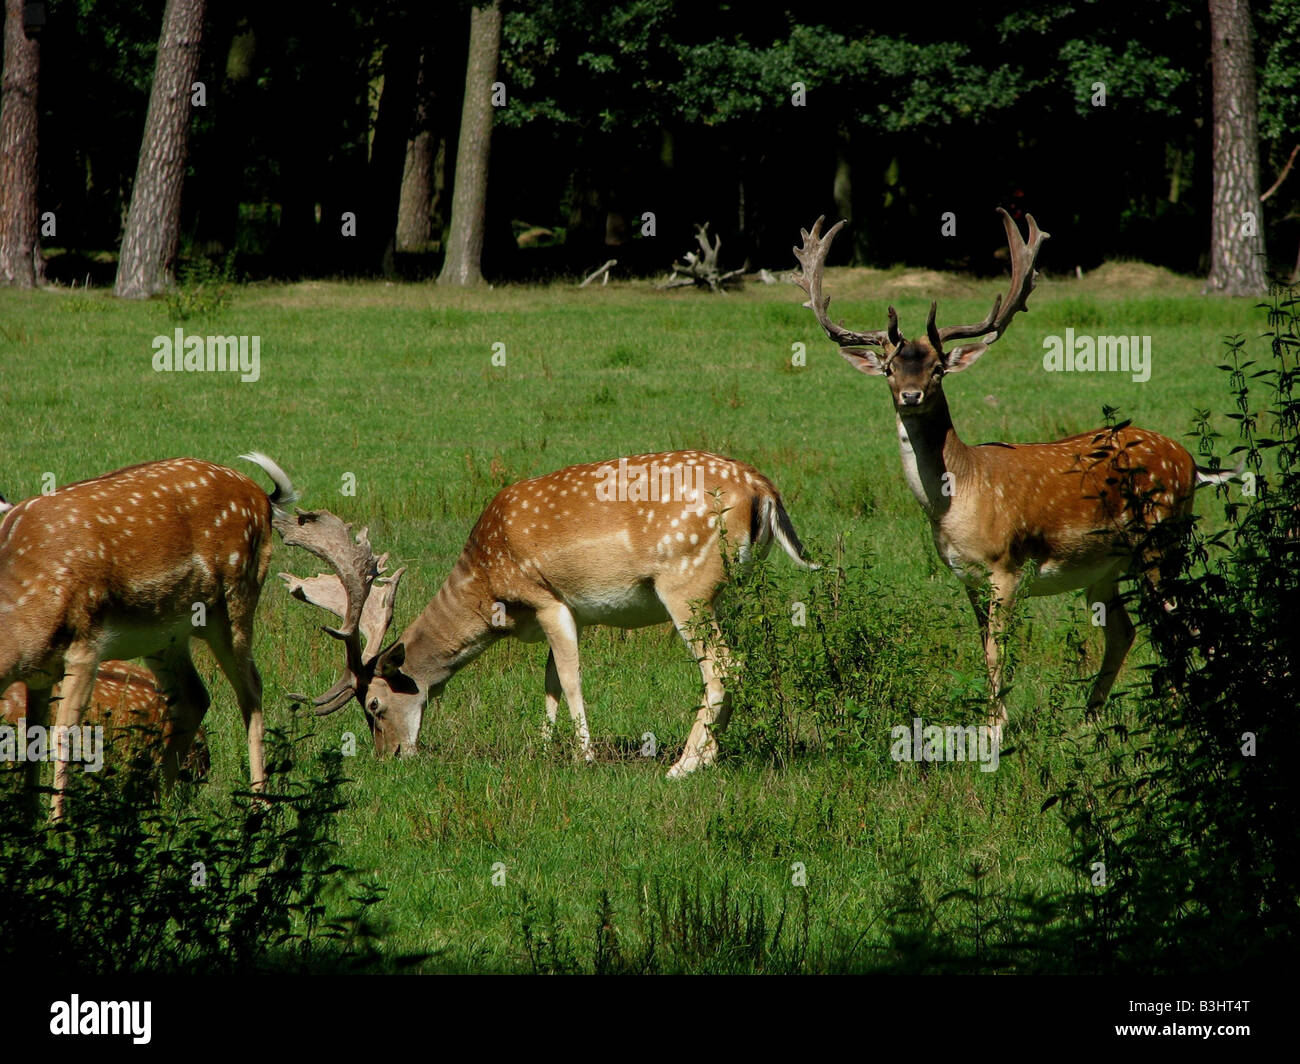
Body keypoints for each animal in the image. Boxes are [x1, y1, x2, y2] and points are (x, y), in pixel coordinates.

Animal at [277, 450, 815, 777]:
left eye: (373, 705)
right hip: (726, 592)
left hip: (686, 585)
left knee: (726, 663)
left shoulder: (547, 597)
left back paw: (684, 765)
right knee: (731, 663)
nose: (389, 756)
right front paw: (541, 748)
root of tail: (764, 491)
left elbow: (572, 677)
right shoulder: (561, 613)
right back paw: (709, 754)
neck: (488, 584)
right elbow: (551, 681)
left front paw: (585, 755)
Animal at [794, 210, 1235, 732]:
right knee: (1127, 630)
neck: (956, 497)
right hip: (1109, 564)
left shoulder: (1005, 566)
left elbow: (997, 649)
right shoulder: (963, 575)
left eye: (938, 369)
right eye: (887, 369)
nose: (910, 395)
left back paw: (1182, 710)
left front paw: (996, 724)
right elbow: (982, 645)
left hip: (1160, 538)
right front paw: (993, 716)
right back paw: (1092, 716)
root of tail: (1191, 463)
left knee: (1186, 620)